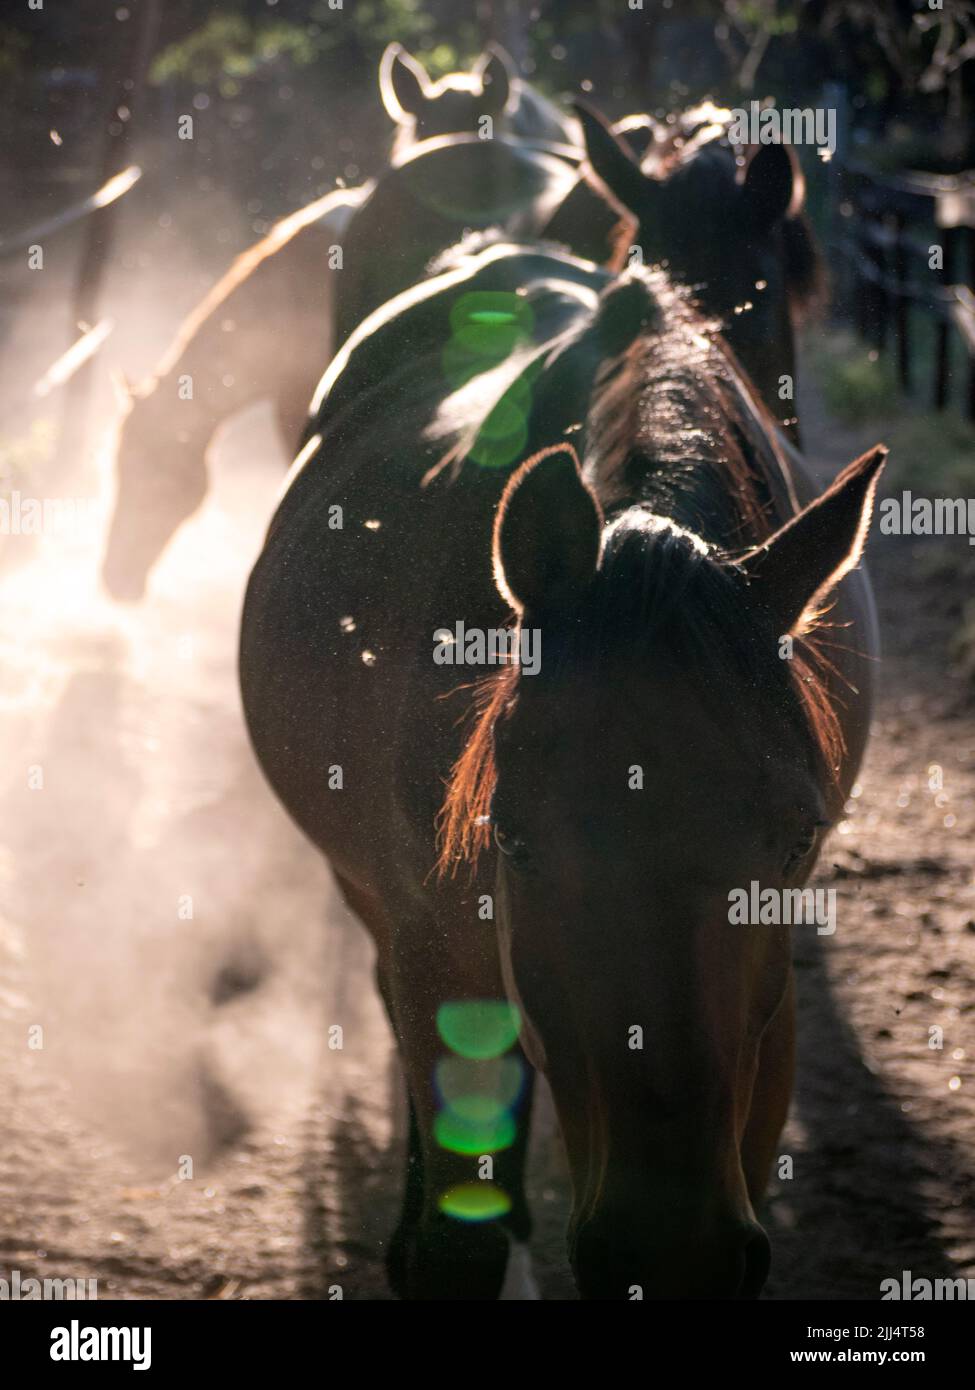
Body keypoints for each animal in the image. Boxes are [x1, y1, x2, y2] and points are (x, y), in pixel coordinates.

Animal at [239, 207, 885, 1296]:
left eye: (797, 839)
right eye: (514, 835)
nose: (671, 1251)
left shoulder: (772, 1002)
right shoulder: (438, 950)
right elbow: (453, 1242)